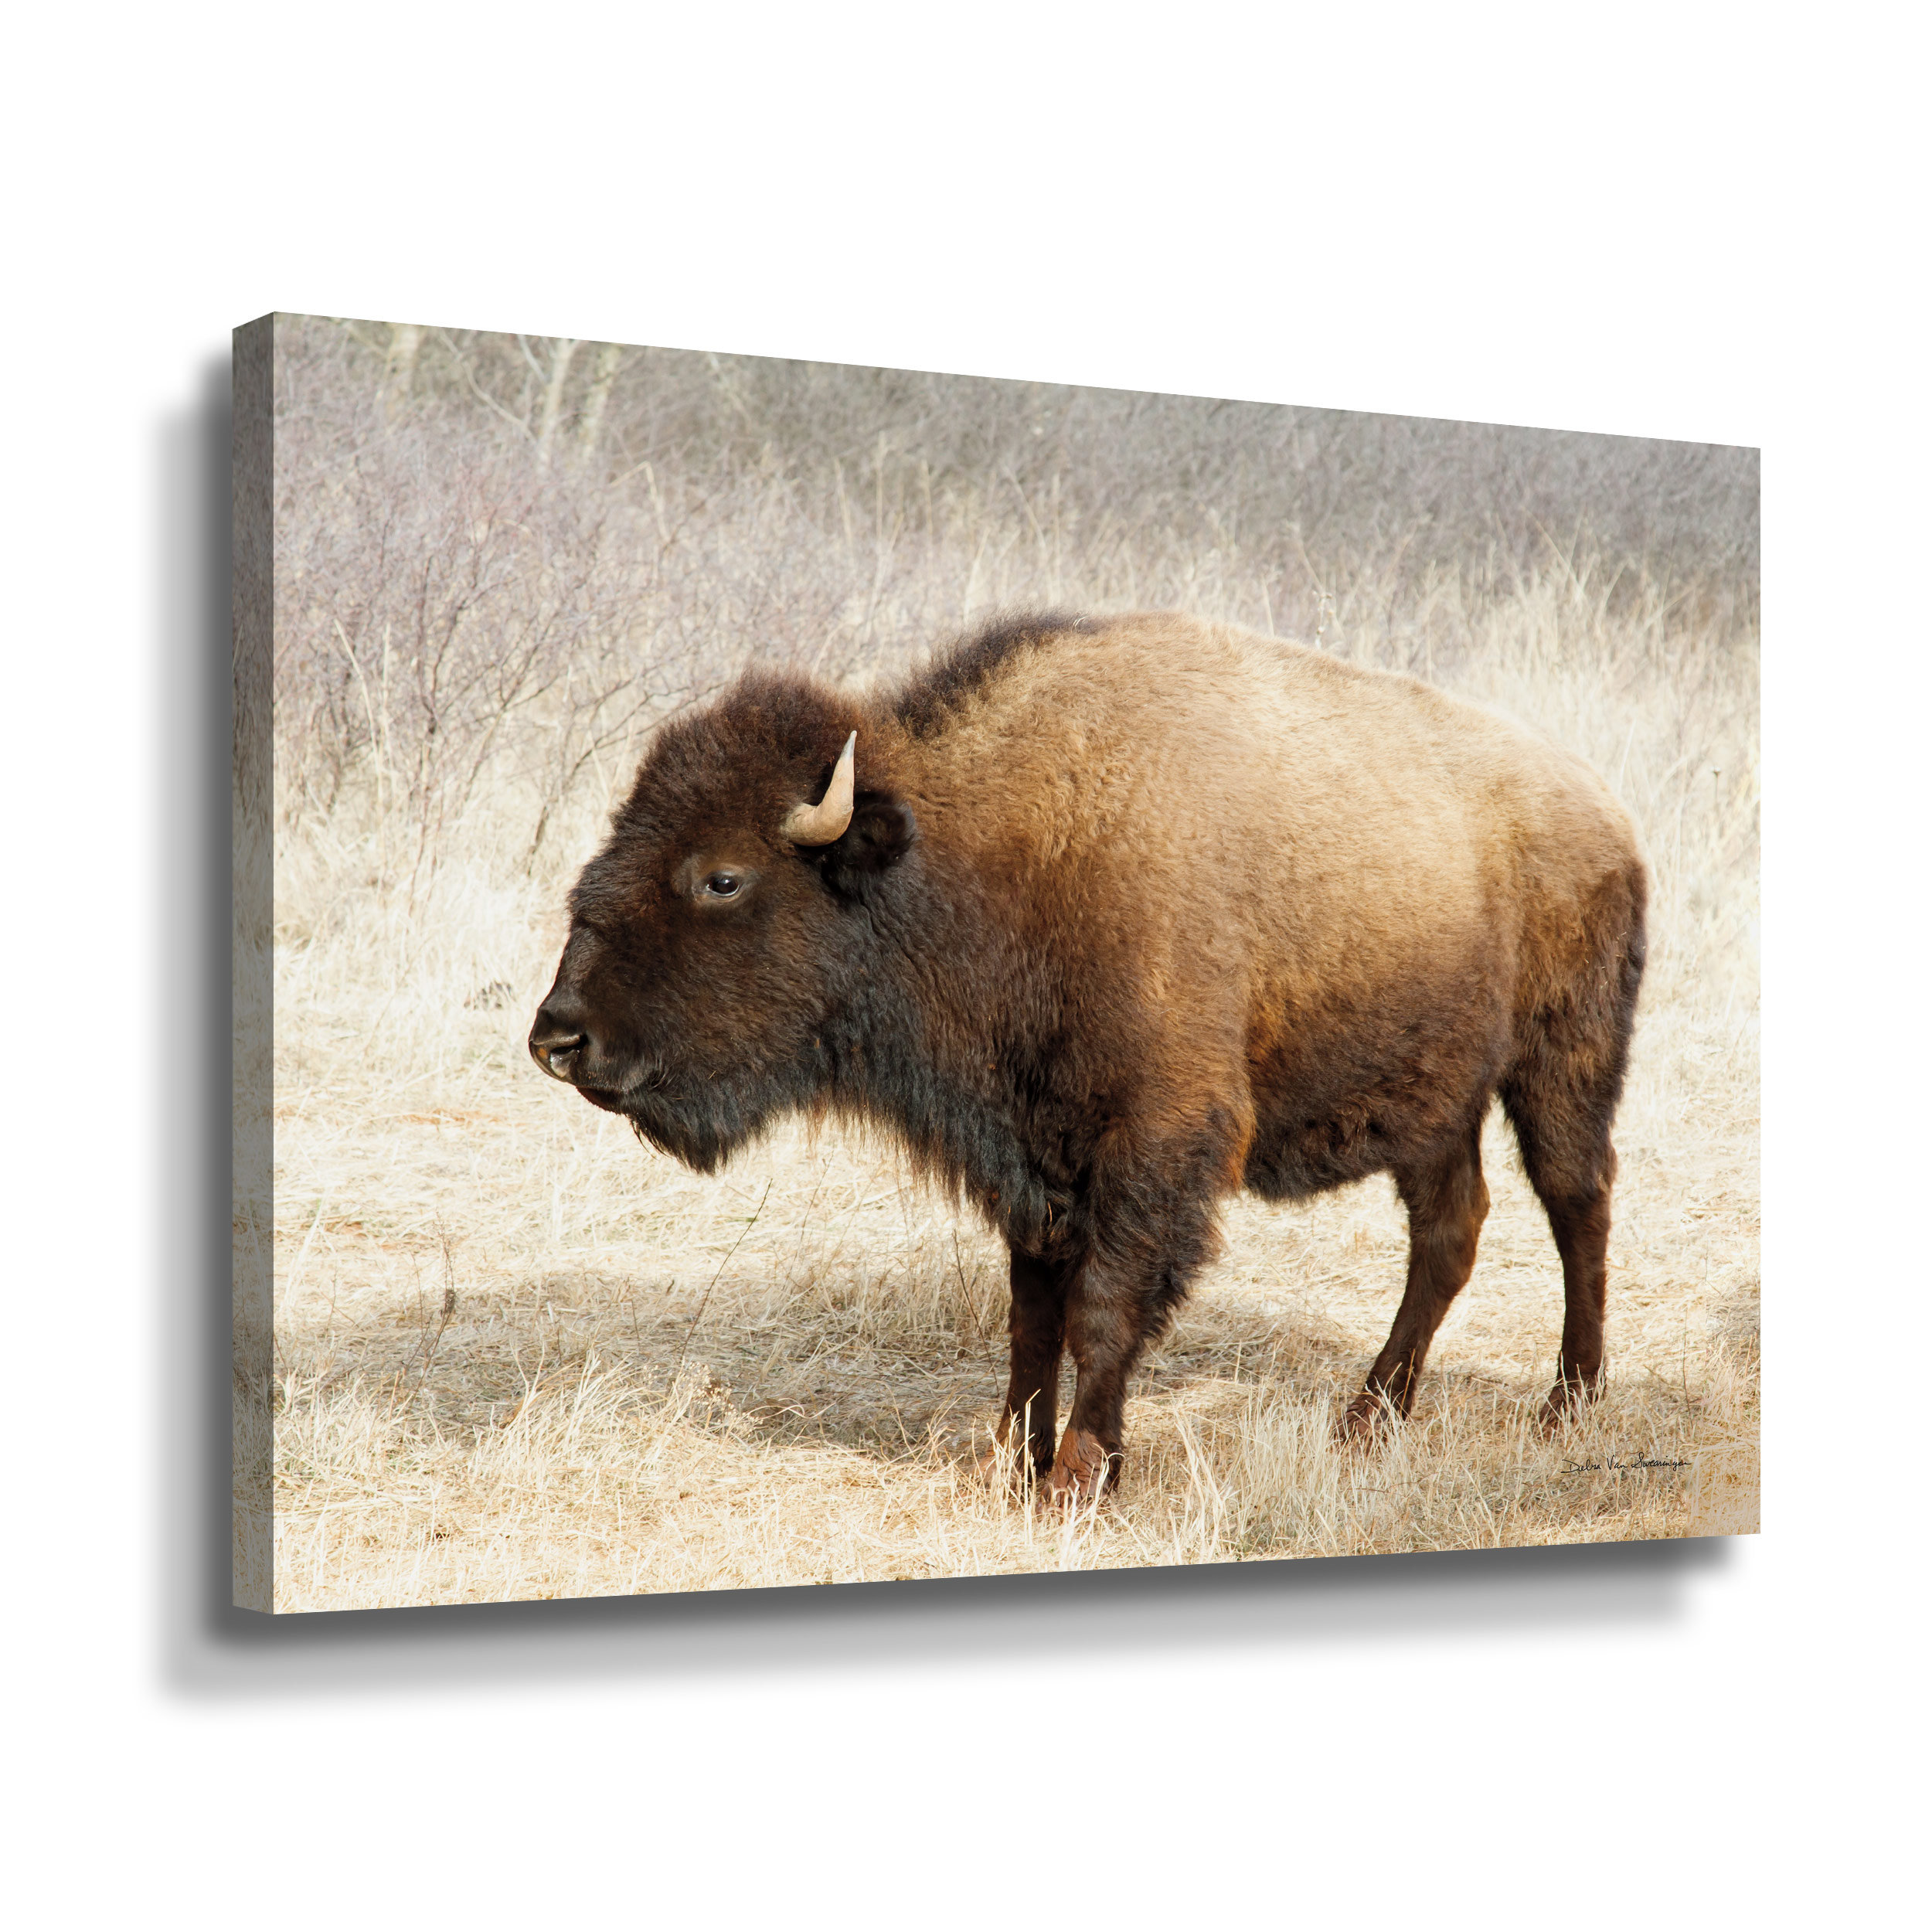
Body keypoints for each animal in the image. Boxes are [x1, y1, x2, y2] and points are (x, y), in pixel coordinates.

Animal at [530, 612, 1647, 1501]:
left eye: (722, 877)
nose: (559, 1037)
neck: (986, 853)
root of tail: (1605, 812)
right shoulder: (1036, 1158)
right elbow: (1032, 1314)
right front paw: (1009, 1461)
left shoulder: (1152, 1146)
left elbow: (1103, 1308)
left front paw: (1077, 1476)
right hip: (1434, 1102)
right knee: (1449, 1234)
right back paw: (1369, 1419)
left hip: (1563, 1063)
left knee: (1576, 1202)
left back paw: (1569, 1403)